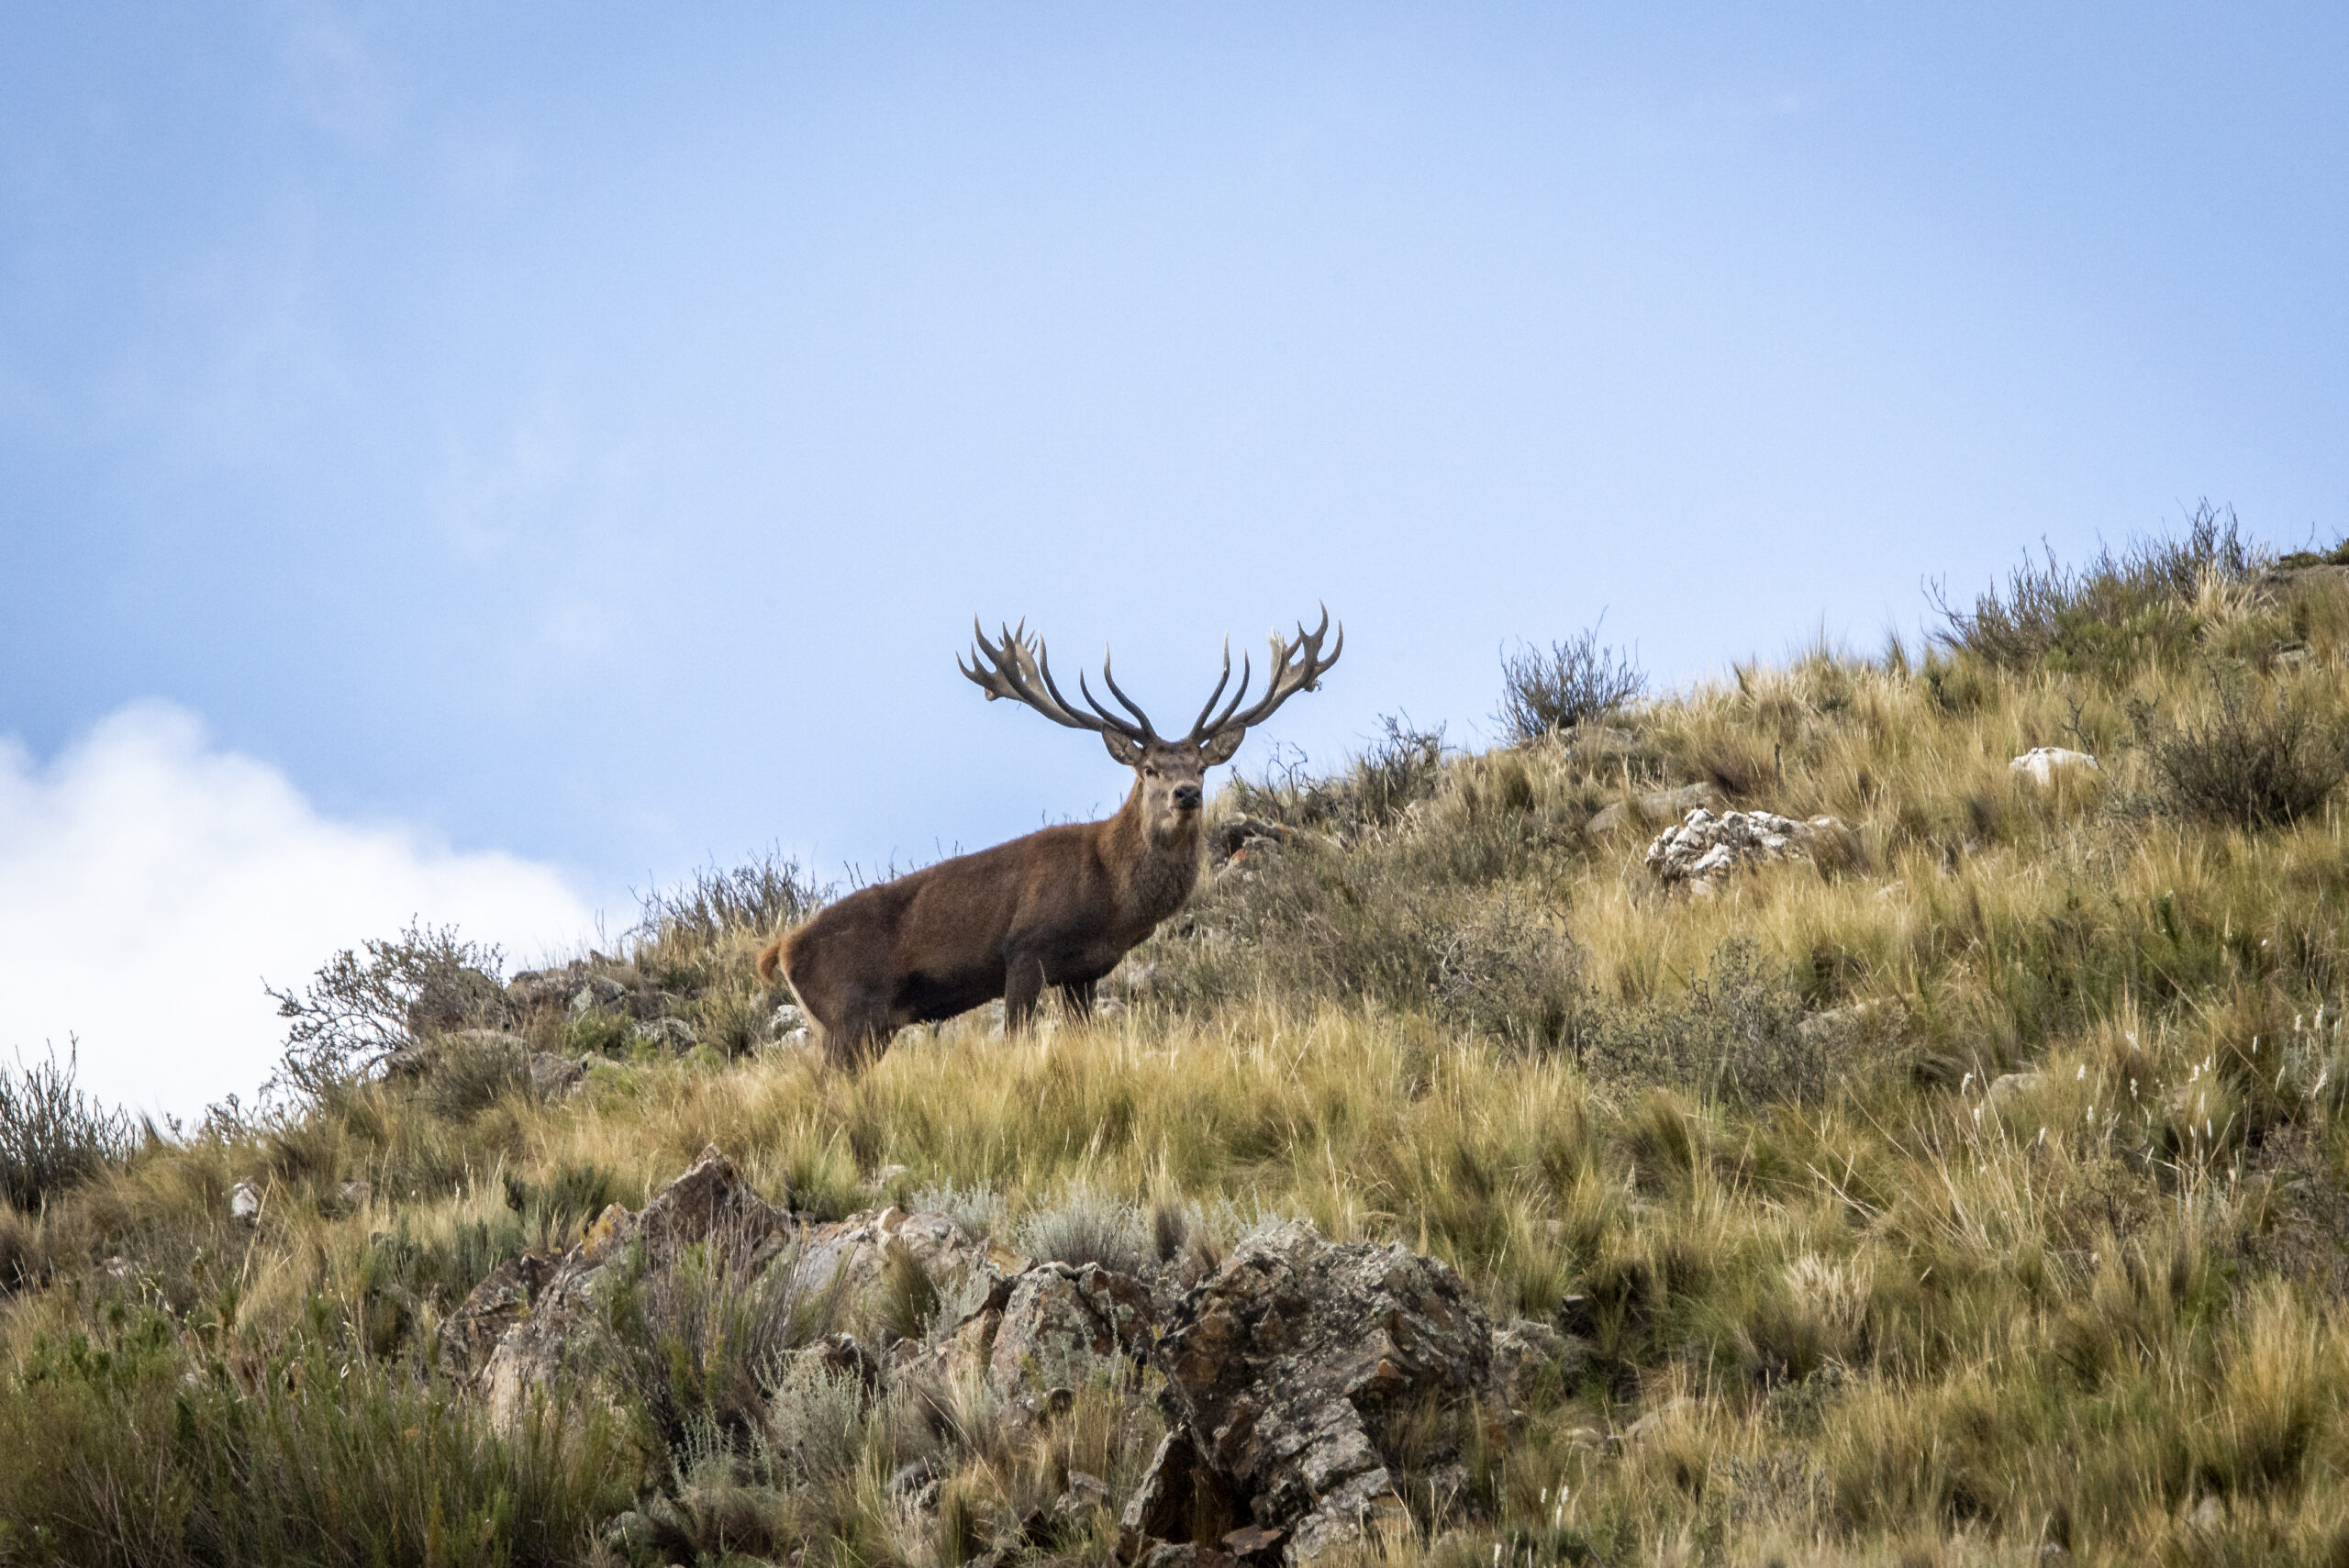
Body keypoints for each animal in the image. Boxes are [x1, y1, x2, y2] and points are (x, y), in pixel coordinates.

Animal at [756, 609, 1341, 1069]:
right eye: (1149, 769)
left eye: (1202, 767)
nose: (1186, 794)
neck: (1110, 897)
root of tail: (780, 949)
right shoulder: (1025, 949)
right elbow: (1014, 1037)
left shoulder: (1084, 972)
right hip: (847, 1020)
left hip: (862, 1029)